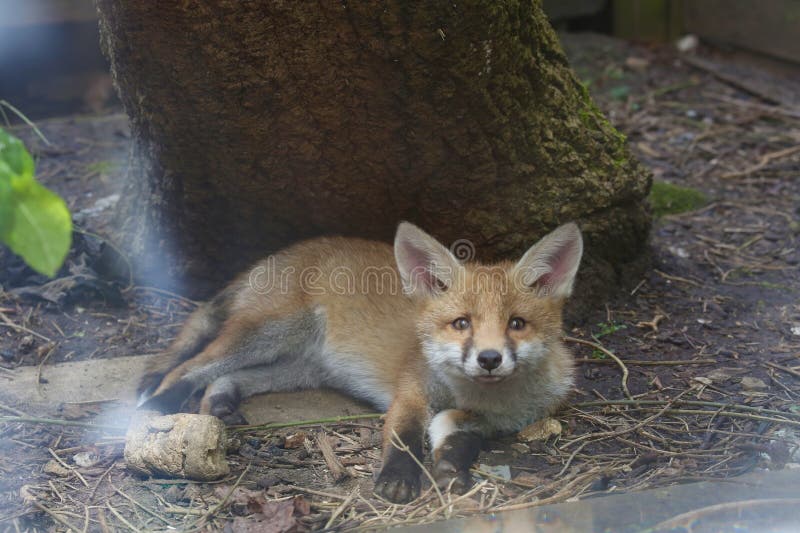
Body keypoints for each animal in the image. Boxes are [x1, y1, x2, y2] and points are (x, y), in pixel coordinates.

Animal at [137, 222, 583, 503]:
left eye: (516, 324)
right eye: (461, 323)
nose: (489, 359)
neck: (479, 397)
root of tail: (281, 255)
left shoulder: (487, 420)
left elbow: (456, 435)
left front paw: (451, 469)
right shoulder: (410, 393)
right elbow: (404, 437)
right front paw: (398, 481)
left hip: (300, 368)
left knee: (224, 377)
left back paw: (220, 404)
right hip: (268, 334)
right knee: (188, 368)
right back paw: (156, 406)